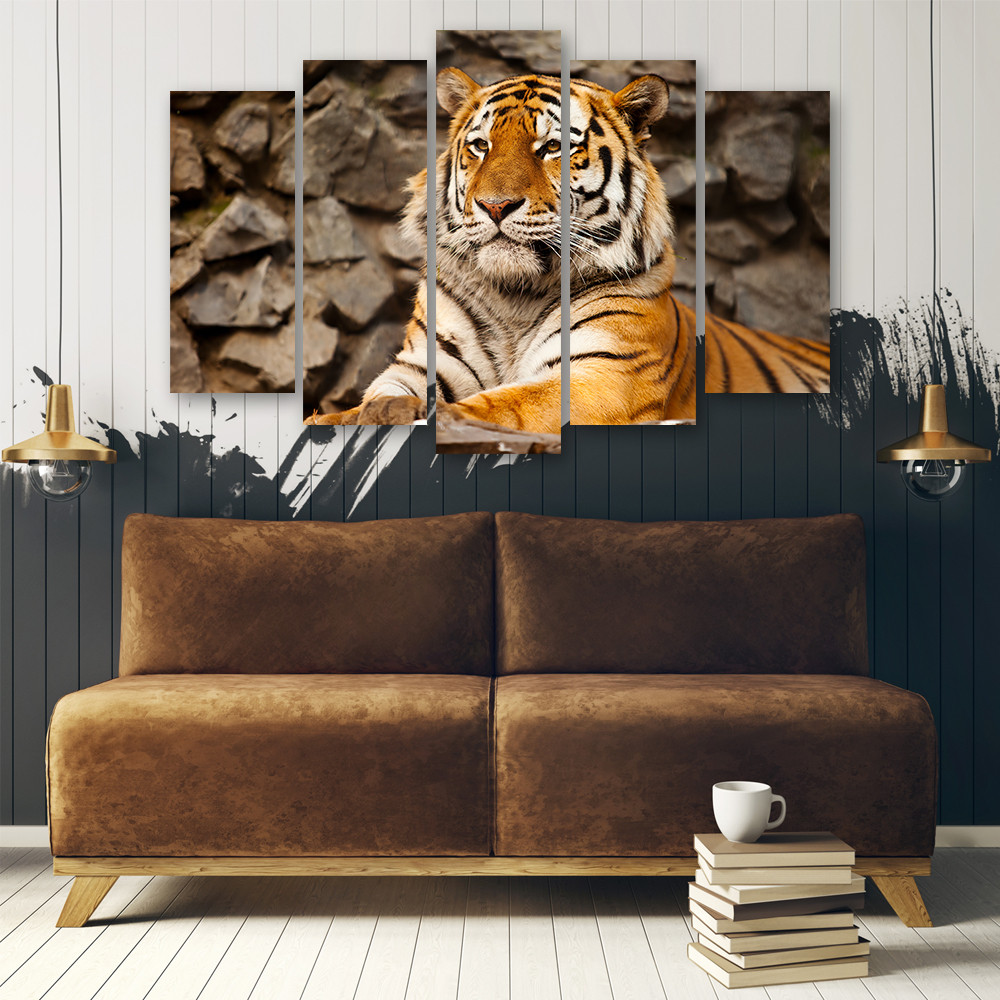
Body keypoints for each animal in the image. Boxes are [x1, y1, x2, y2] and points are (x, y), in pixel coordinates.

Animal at [305, 69, 830, 429]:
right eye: (480, 146)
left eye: (552, 147)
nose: (494, 205)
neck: (513, 296)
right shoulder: (420, 363)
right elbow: (379, 396)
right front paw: (351, 417)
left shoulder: (605, 374)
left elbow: (505, 404)